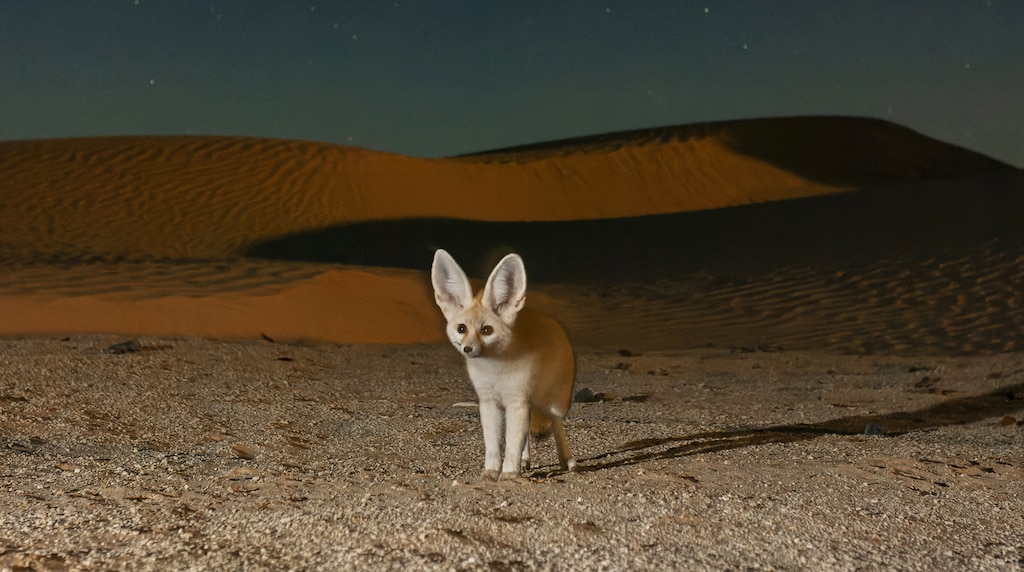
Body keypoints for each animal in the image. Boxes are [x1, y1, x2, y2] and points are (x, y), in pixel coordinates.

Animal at [430, 249, 576, 481]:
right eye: (462, 329)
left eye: (486, 331)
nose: (468, 349)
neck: (494, 372)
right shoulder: (490, 402)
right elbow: (494, 445)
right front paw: (491, 472)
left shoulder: (517, 401)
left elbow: (512, 445)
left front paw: (508, 473)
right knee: (527, 435)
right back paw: (526, 460)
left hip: (555, 403)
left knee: (556, 425)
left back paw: (566, 460)